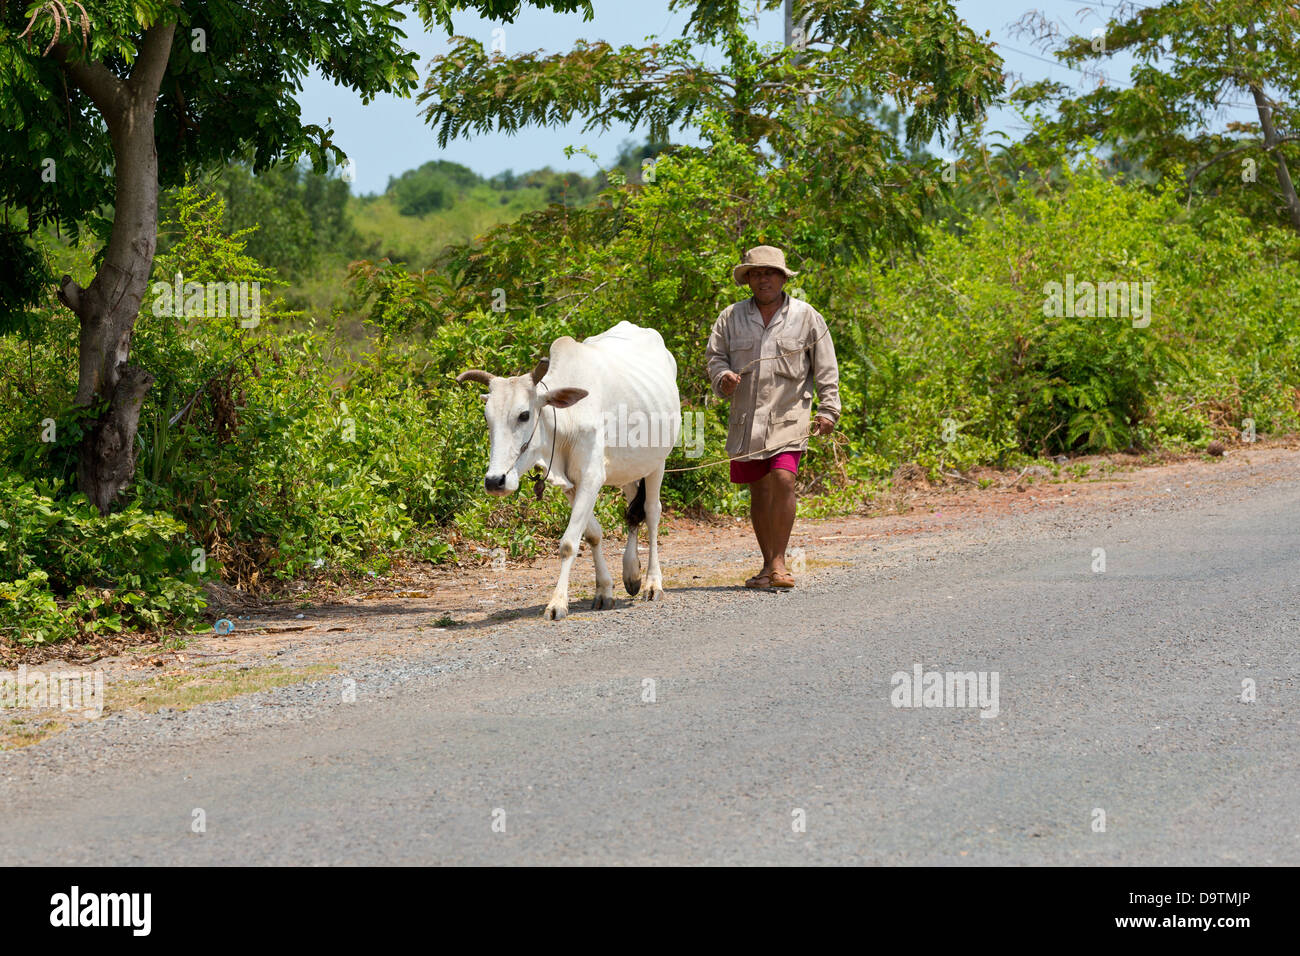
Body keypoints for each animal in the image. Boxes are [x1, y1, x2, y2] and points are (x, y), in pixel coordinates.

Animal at [456, 320, 681, 620]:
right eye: (487, 417)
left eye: (524, 414)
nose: (495, 481)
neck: (567, 420)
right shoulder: (570, 485)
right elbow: (593, 534)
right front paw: (604, 590)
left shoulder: (591, 478)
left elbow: (568, 544)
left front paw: (557, 603)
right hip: (630, 468)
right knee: (634, 513)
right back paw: (631, 573)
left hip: (657, 462)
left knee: (652, 513)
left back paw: (652, 583)